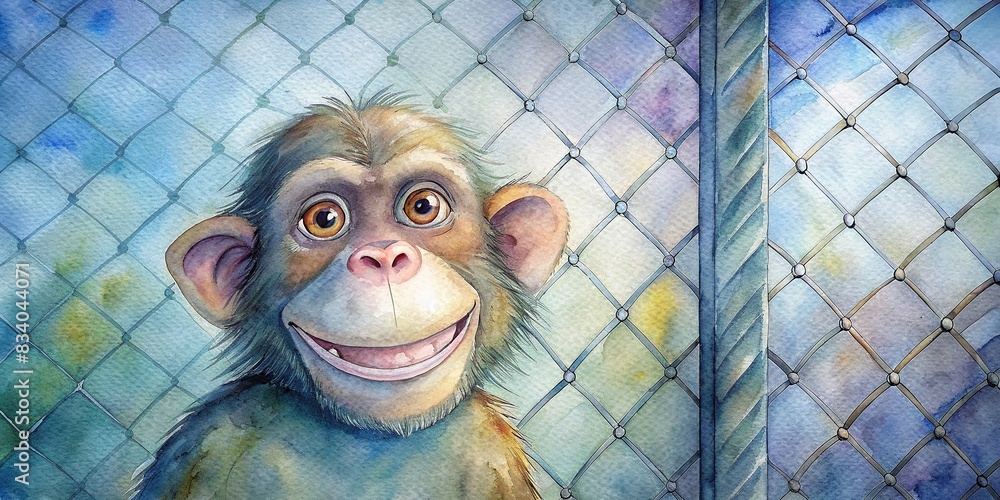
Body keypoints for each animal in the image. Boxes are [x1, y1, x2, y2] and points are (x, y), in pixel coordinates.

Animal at [133, 92, 569, 499]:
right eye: (325, 219)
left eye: (423, 206)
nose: (383, 256)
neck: (374, 438)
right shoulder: (206, 445)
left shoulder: (493, 455)